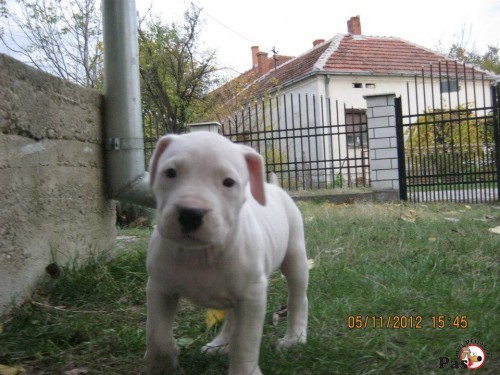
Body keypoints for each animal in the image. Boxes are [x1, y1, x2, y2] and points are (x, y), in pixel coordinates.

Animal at [146, 132, 308, 375]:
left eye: (228, 182)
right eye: (170, 173)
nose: (191, 214)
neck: (199, 254)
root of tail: (274, 187)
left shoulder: (251, 298)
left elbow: (244, 343)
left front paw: (244, 370)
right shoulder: (159, 288)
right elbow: (158, 336)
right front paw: (163, 366)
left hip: (295, 256)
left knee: (298, 297)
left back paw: (294, 338)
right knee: (232, 320)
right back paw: (220, 345)